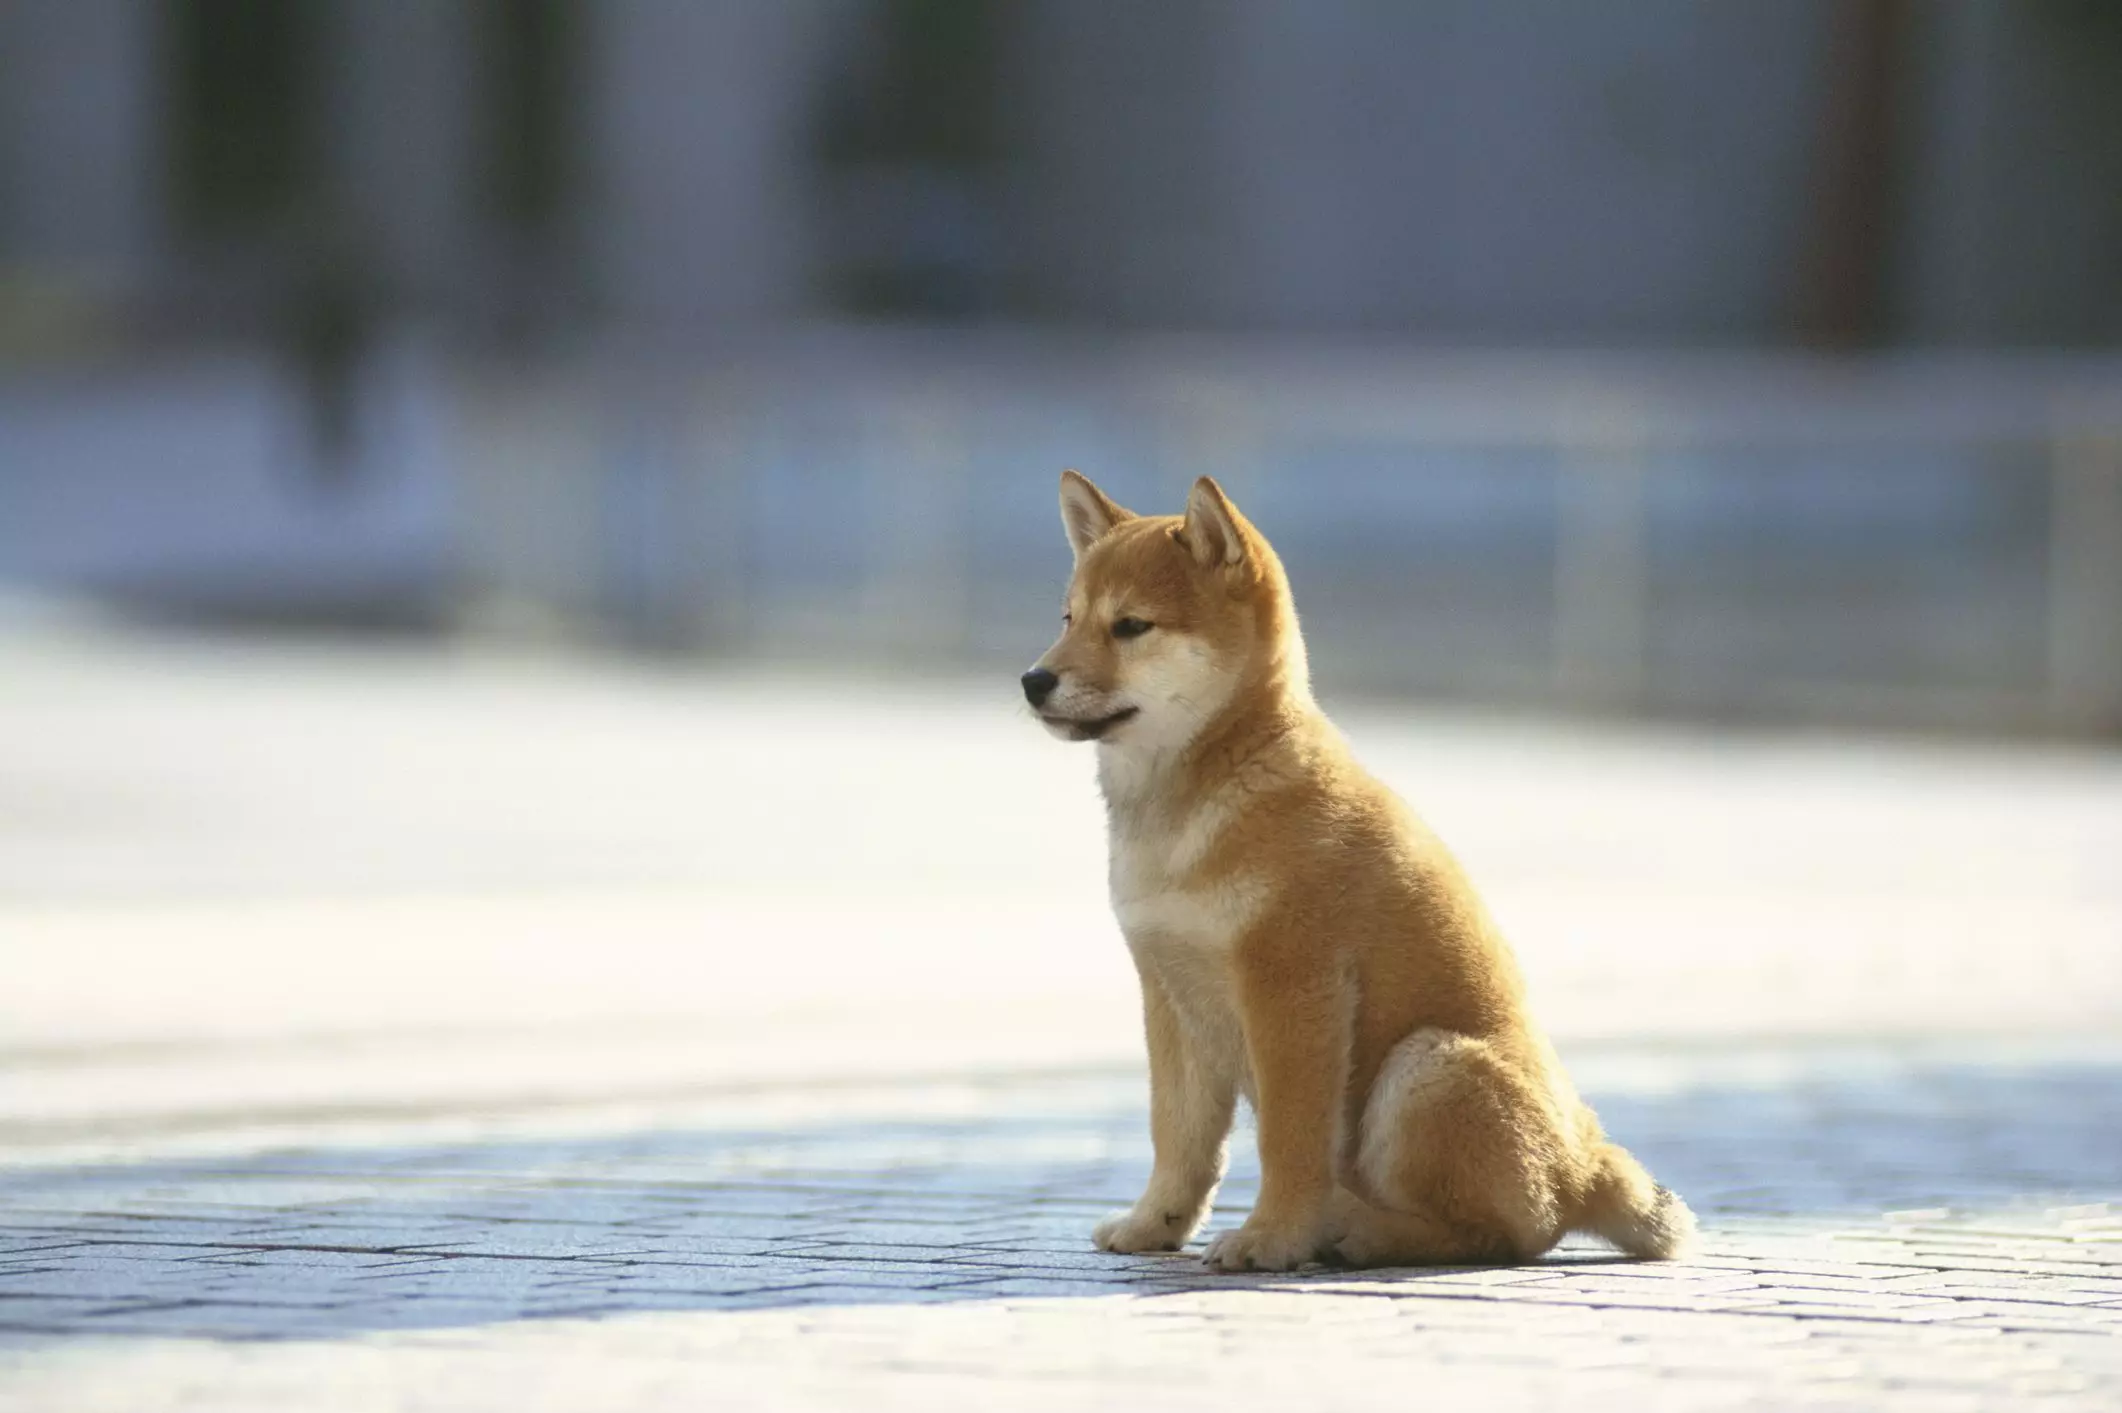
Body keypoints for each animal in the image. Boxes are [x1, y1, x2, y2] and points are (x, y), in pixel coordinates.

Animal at [1018, 466, 1697, 1272]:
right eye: (1068, 617)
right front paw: (1156, 1223)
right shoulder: (1170, 994)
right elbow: (1180, 1139)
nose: (1033, 679)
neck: (1203, 799)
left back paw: (1361, 1232)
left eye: (1130, 626)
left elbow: (1287, 1143)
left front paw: (1270, 1238)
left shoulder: (1295, 985)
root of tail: (1588, 1164)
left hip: (1426, 1066)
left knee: (1505, 1232)